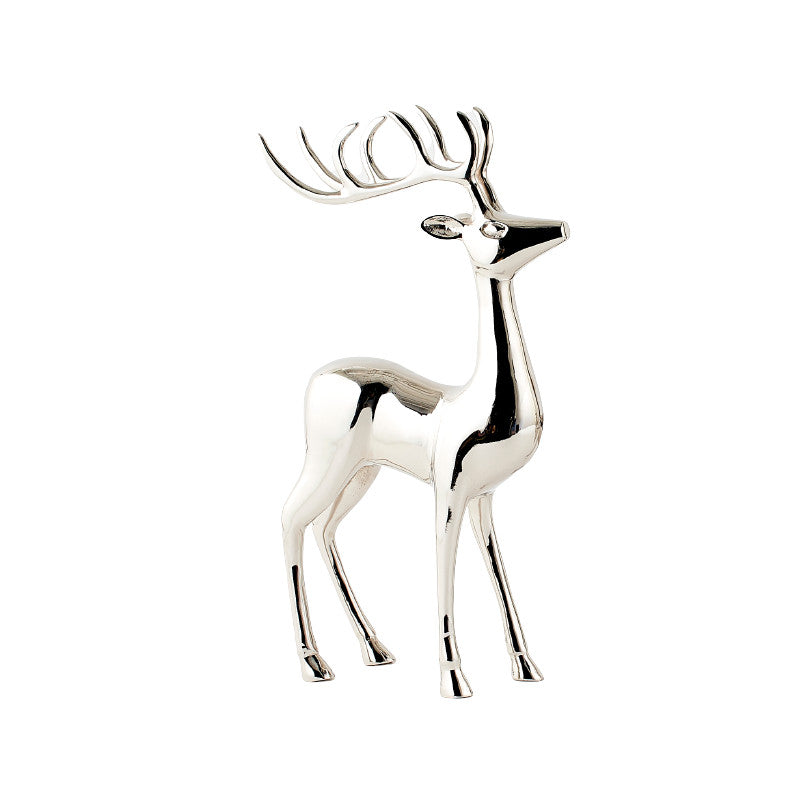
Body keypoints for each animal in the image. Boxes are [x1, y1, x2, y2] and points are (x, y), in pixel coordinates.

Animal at [259, 106, 569, 698]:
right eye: (491, 225)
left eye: (506, 206)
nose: (559, 226)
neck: (482, 400)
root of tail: (319, 375)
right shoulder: (447, 485)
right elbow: (443, 563)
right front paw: (453, 678)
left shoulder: (485, 493)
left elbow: (496, 565)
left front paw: (527, 667)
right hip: (325, 459)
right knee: (288, 518)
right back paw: (315, 664)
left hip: (363, 471)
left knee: (325, 528)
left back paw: (376, 650)